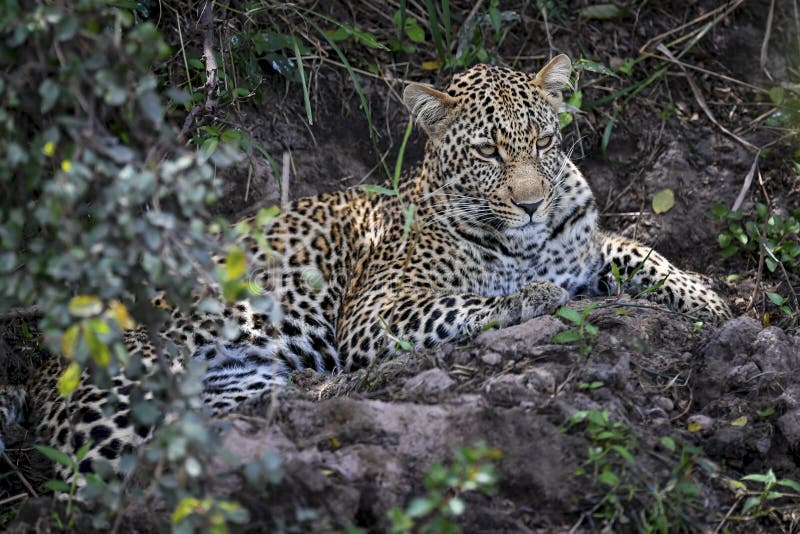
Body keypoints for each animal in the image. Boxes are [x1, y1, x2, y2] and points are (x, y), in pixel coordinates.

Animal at [0, 55, 731, 481]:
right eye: (489, 152)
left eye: (546, 142)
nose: (530, 203)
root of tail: (40, 367)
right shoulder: (376, 308)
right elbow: (463, 302)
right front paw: (529, 297)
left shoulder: (584, 243)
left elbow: (636, 249)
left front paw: (704, 297)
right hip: (130, 400)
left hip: (239, 384)